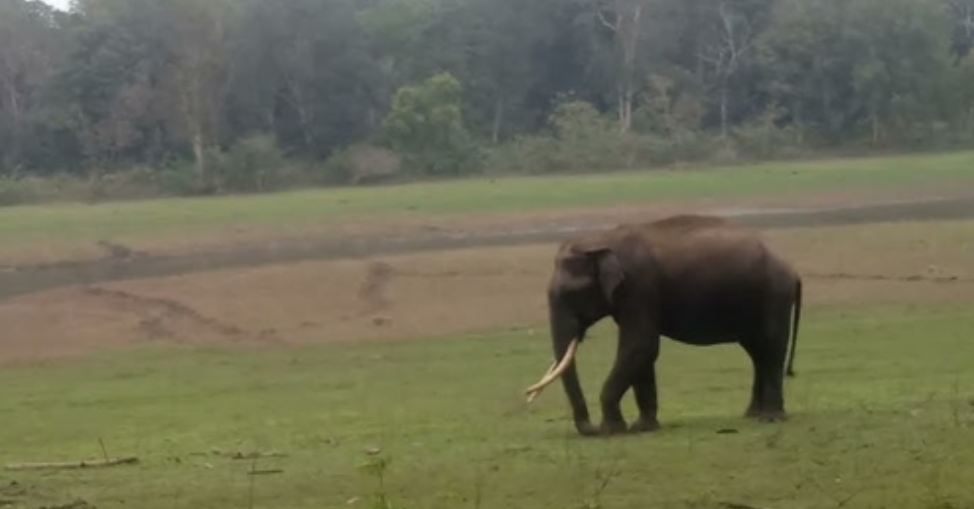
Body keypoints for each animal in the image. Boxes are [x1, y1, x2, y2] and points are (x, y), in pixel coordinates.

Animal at [523, 214, 803, 437]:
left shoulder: (639, 286)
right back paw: (752, 414)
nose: (590, 429)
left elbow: (640, 345)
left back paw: (771, 418)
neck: (602, 239)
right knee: (757, 352)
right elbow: (642, 353)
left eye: (572, 294)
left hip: (774, 294)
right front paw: (643, 427)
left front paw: (613, 430)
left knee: (771, 346)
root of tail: (792, 269)